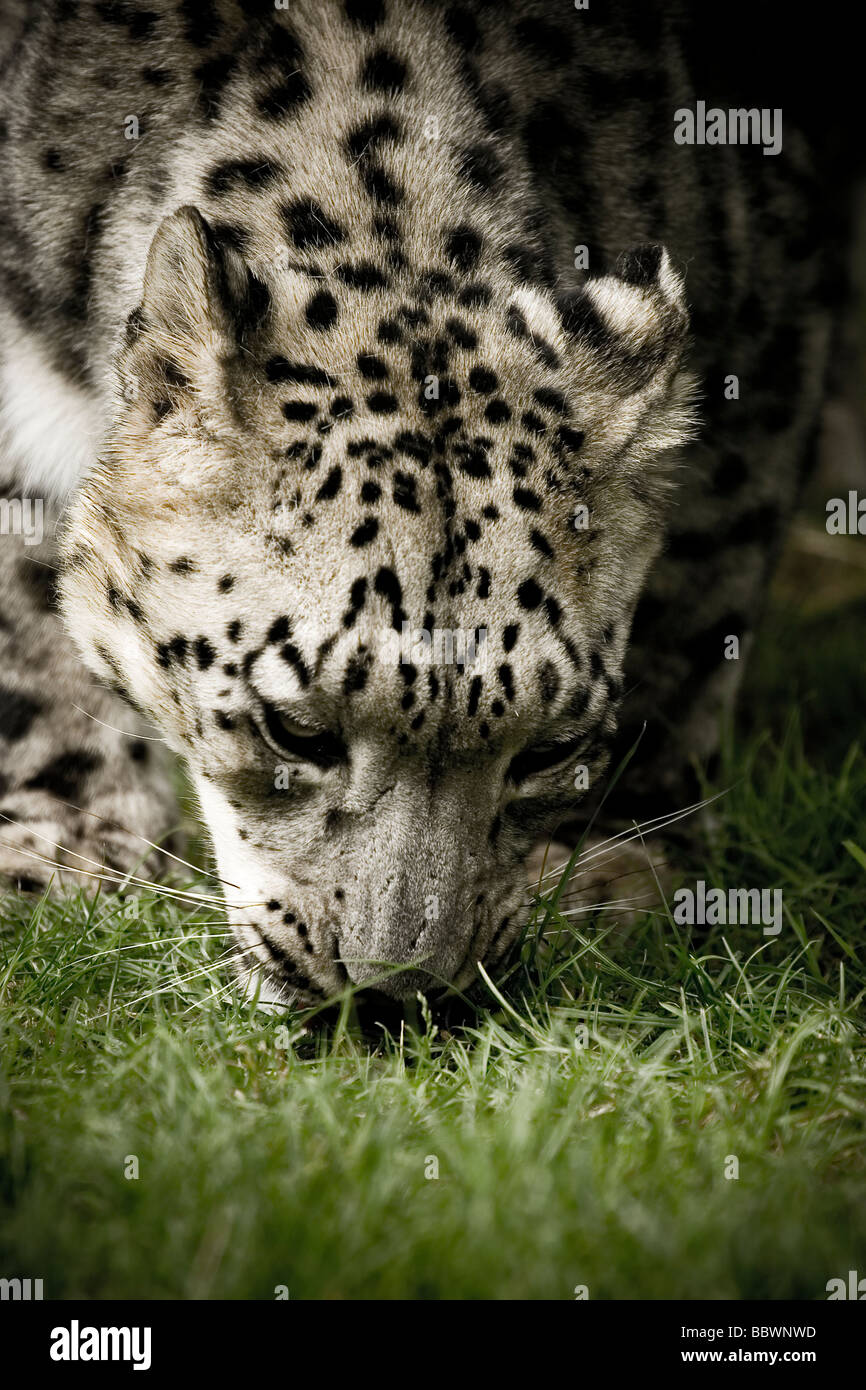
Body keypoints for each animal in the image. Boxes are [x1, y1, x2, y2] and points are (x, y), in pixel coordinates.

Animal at [0, 0, 843, 1008]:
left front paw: (611, 872)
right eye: (295, 730)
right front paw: (68, 850)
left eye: (551, 749)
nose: (397, 993)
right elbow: (25, 630)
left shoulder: (774, 333)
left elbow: (698, 623)